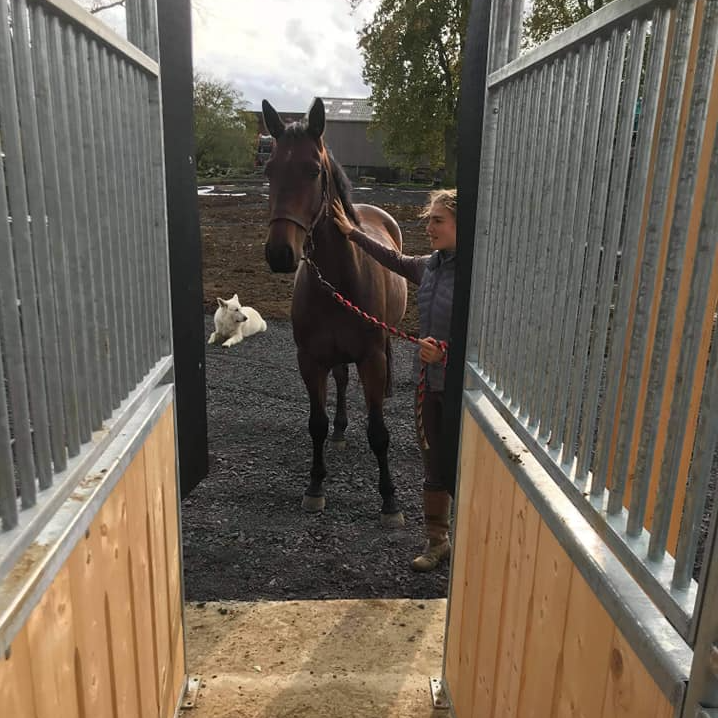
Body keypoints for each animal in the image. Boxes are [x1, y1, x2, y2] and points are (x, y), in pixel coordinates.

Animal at [262, 97, 408, 528]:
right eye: (269, 169)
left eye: (313, 170)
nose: (280, 253)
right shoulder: (310, 360)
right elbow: (317, 424)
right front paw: (315, 486)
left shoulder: (372, 359)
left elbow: (379, 431)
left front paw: (389, 500)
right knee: (341, 383)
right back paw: (342, 431)